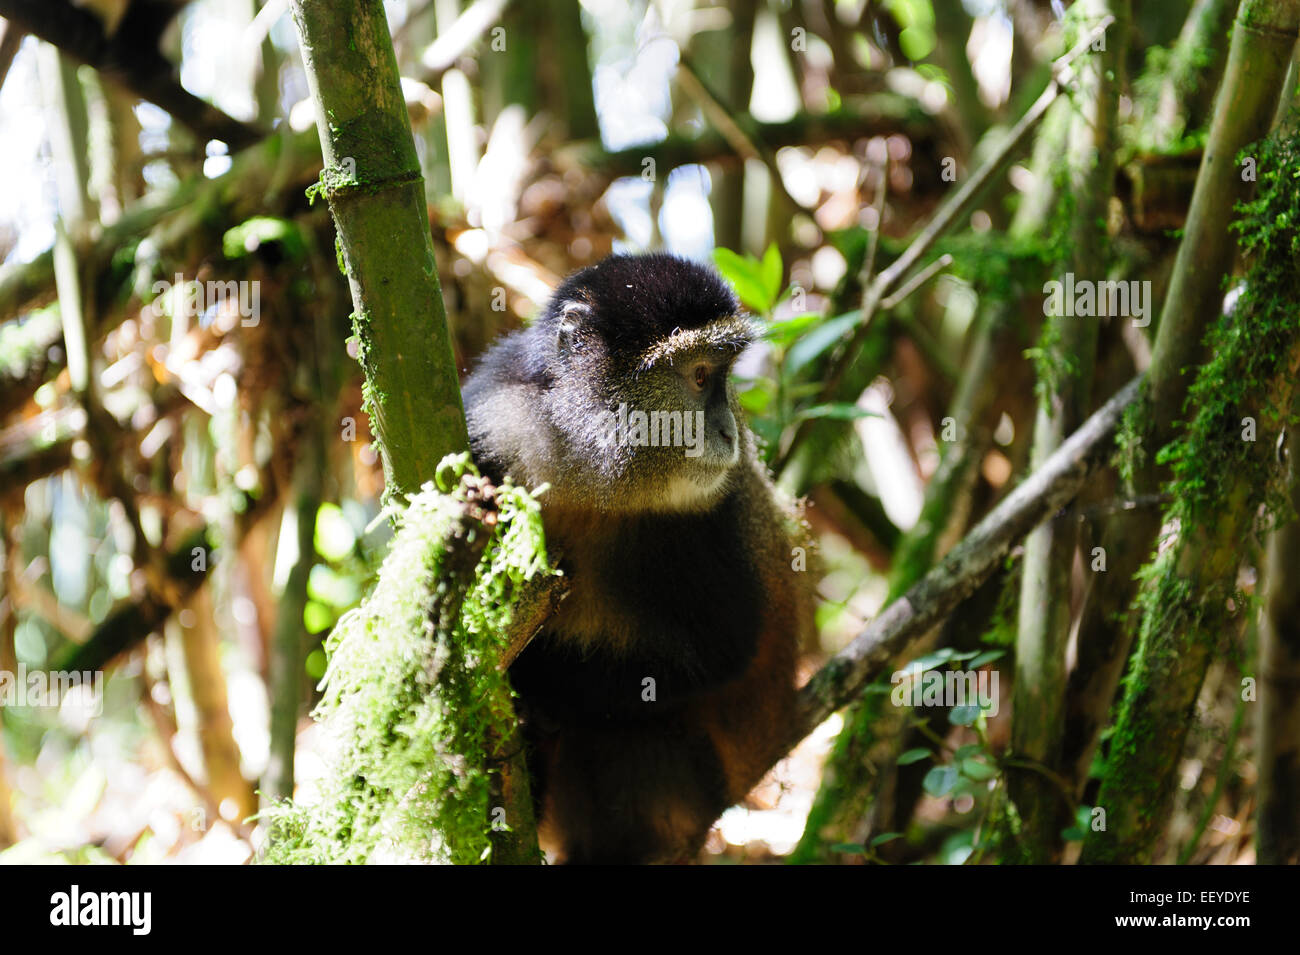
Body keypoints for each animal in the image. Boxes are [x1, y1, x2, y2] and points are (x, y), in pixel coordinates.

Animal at [463, 253, 816, 864]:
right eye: (699, 376)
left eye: (724, 376)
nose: (728, 432)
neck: (589, 471)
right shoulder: (494, 422)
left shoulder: (710, 520)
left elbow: (721, 654)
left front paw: (533, 680)